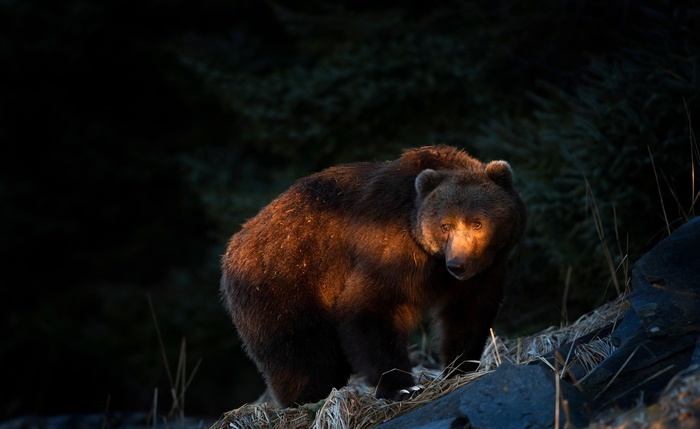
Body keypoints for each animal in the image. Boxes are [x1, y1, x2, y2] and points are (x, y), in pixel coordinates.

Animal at [220, 145, 526, 407]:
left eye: (477, 223)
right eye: (445, 225)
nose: (458, 264)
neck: (434, 262)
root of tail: (234, 246)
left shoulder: (484, 271)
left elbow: (468, 314)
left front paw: (460, 367)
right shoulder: (389, 249)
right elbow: (369, 307)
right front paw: (402, 387)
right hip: (286, 281)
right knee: (302, 354)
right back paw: (309, 399)